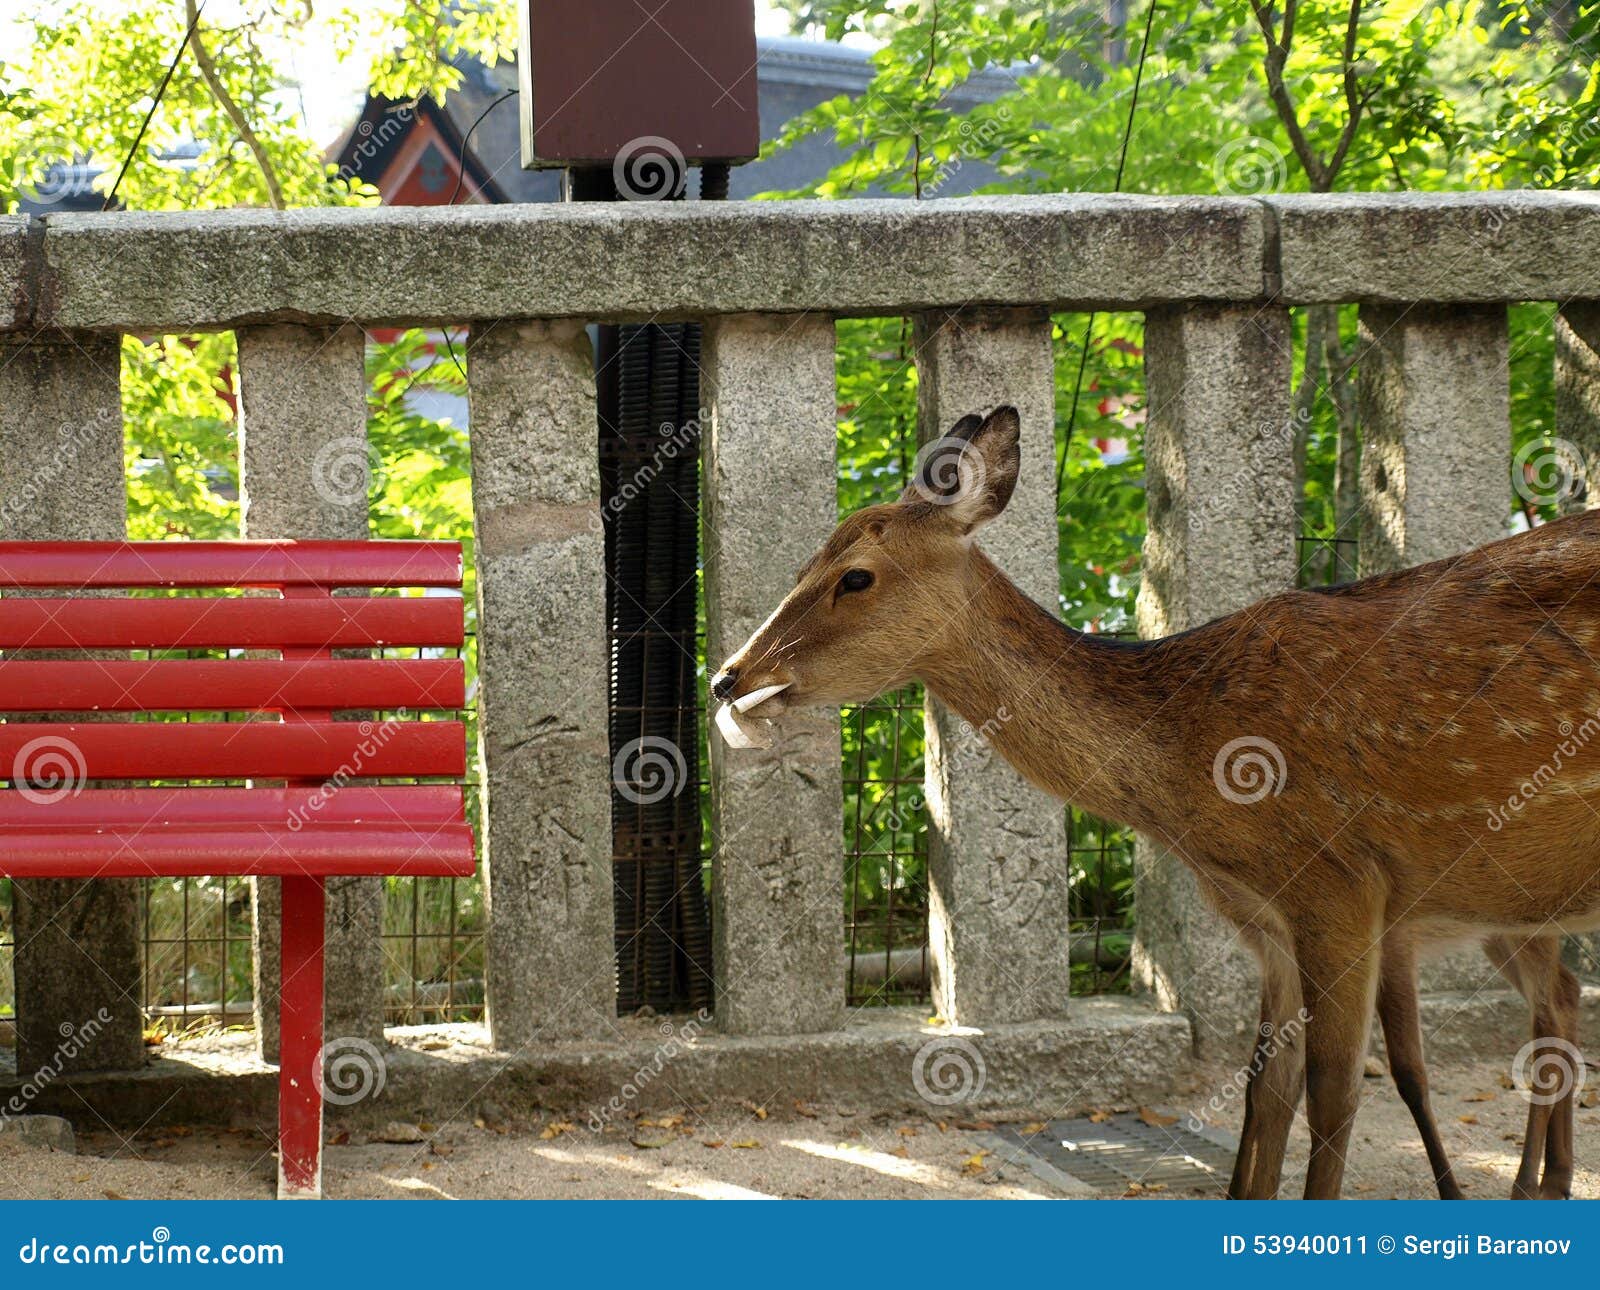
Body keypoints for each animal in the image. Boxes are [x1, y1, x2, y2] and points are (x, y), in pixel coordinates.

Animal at [710, 404, 1595, 1200]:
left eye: (855, 575)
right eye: (806, 561)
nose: (727, 676)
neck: (1199, 790)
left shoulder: (1344, 888)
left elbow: (1337, 1093)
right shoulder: (1269, 920)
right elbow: (1264, 1089)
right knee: (1556, 999)